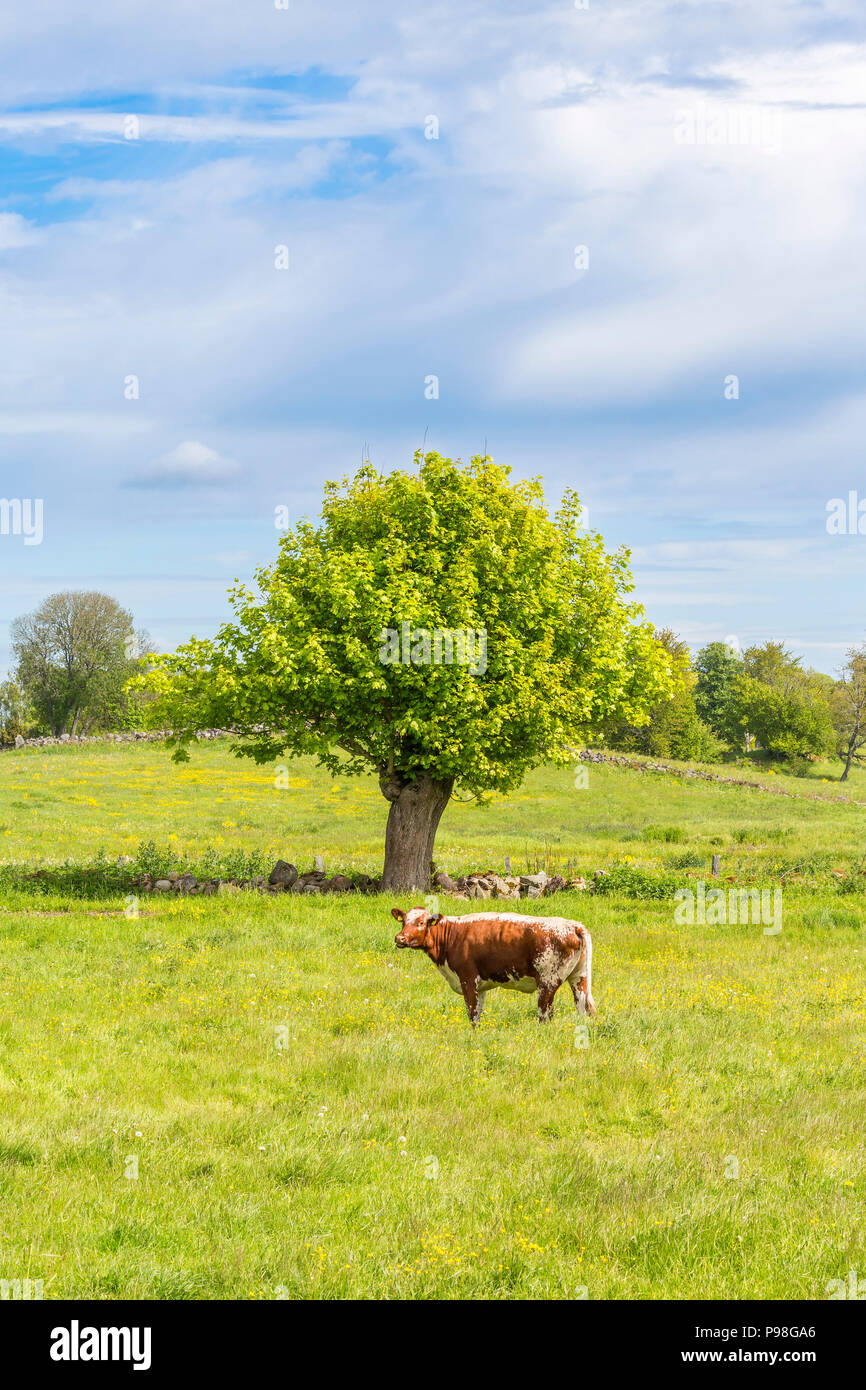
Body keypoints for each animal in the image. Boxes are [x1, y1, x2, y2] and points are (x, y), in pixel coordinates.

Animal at [392, 906, 596, 1025]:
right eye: (404, 921)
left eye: (420, 922)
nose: (399, 938)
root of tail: (573, 925)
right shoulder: (481, 986)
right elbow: (478, 1014)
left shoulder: (467, 979)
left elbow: (472, 1013)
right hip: (579, 977)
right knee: (583, 1008)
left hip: (548, 981)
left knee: (545, 1014)